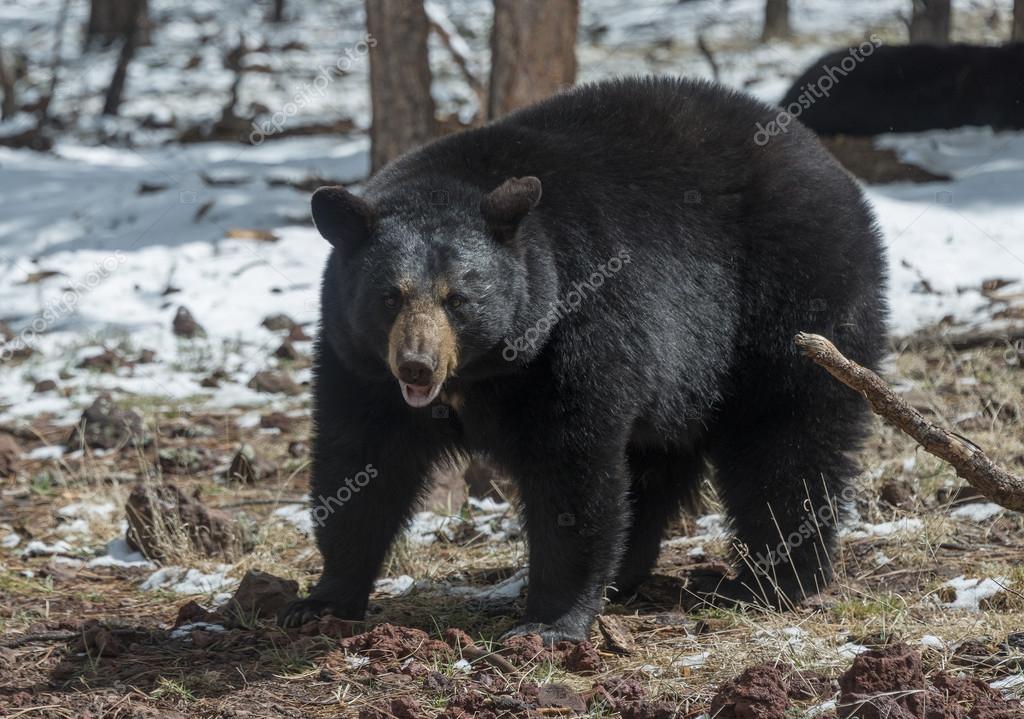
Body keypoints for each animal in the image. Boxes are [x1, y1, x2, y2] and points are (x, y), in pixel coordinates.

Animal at [278, 76, 888, 642]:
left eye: (459, 299)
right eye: (390, 297)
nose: (416, 366)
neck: (480, 373)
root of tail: (823, 158)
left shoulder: (572, 333)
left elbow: (571, 468)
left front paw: (549, 623)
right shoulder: (357, 361)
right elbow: (360, 462)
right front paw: (322, 601)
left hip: (796, 296)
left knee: (787, 436)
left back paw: (770, 583)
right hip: (689, 371)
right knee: (658, 462)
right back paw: (630, 573)